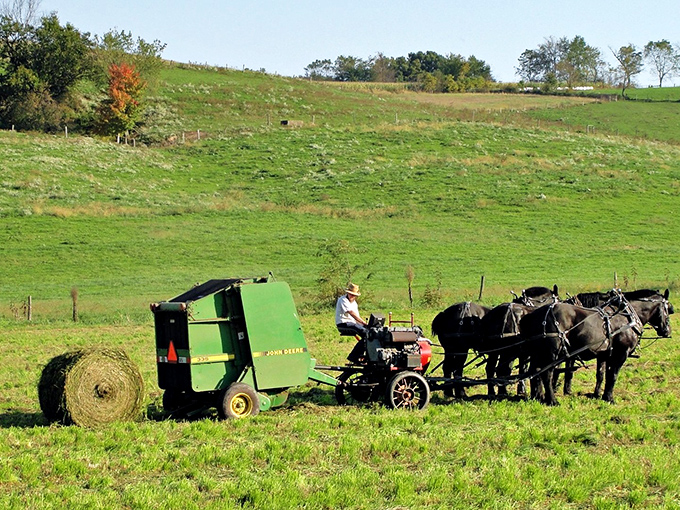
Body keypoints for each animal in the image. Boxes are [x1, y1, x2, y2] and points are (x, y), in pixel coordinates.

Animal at [520, 290, 672, 405]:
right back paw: (552, 400)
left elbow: (601, 375)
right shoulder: (621, 354)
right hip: (552, 353)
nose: (667, 331)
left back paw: (538, 396)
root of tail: (533, 314)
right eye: (667, 309)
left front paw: (598, 394)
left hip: (539, 352)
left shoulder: (604, 354)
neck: (627, 317)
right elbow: (613, 375)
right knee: (547, 373)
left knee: (535, 372)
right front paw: (609, 398)